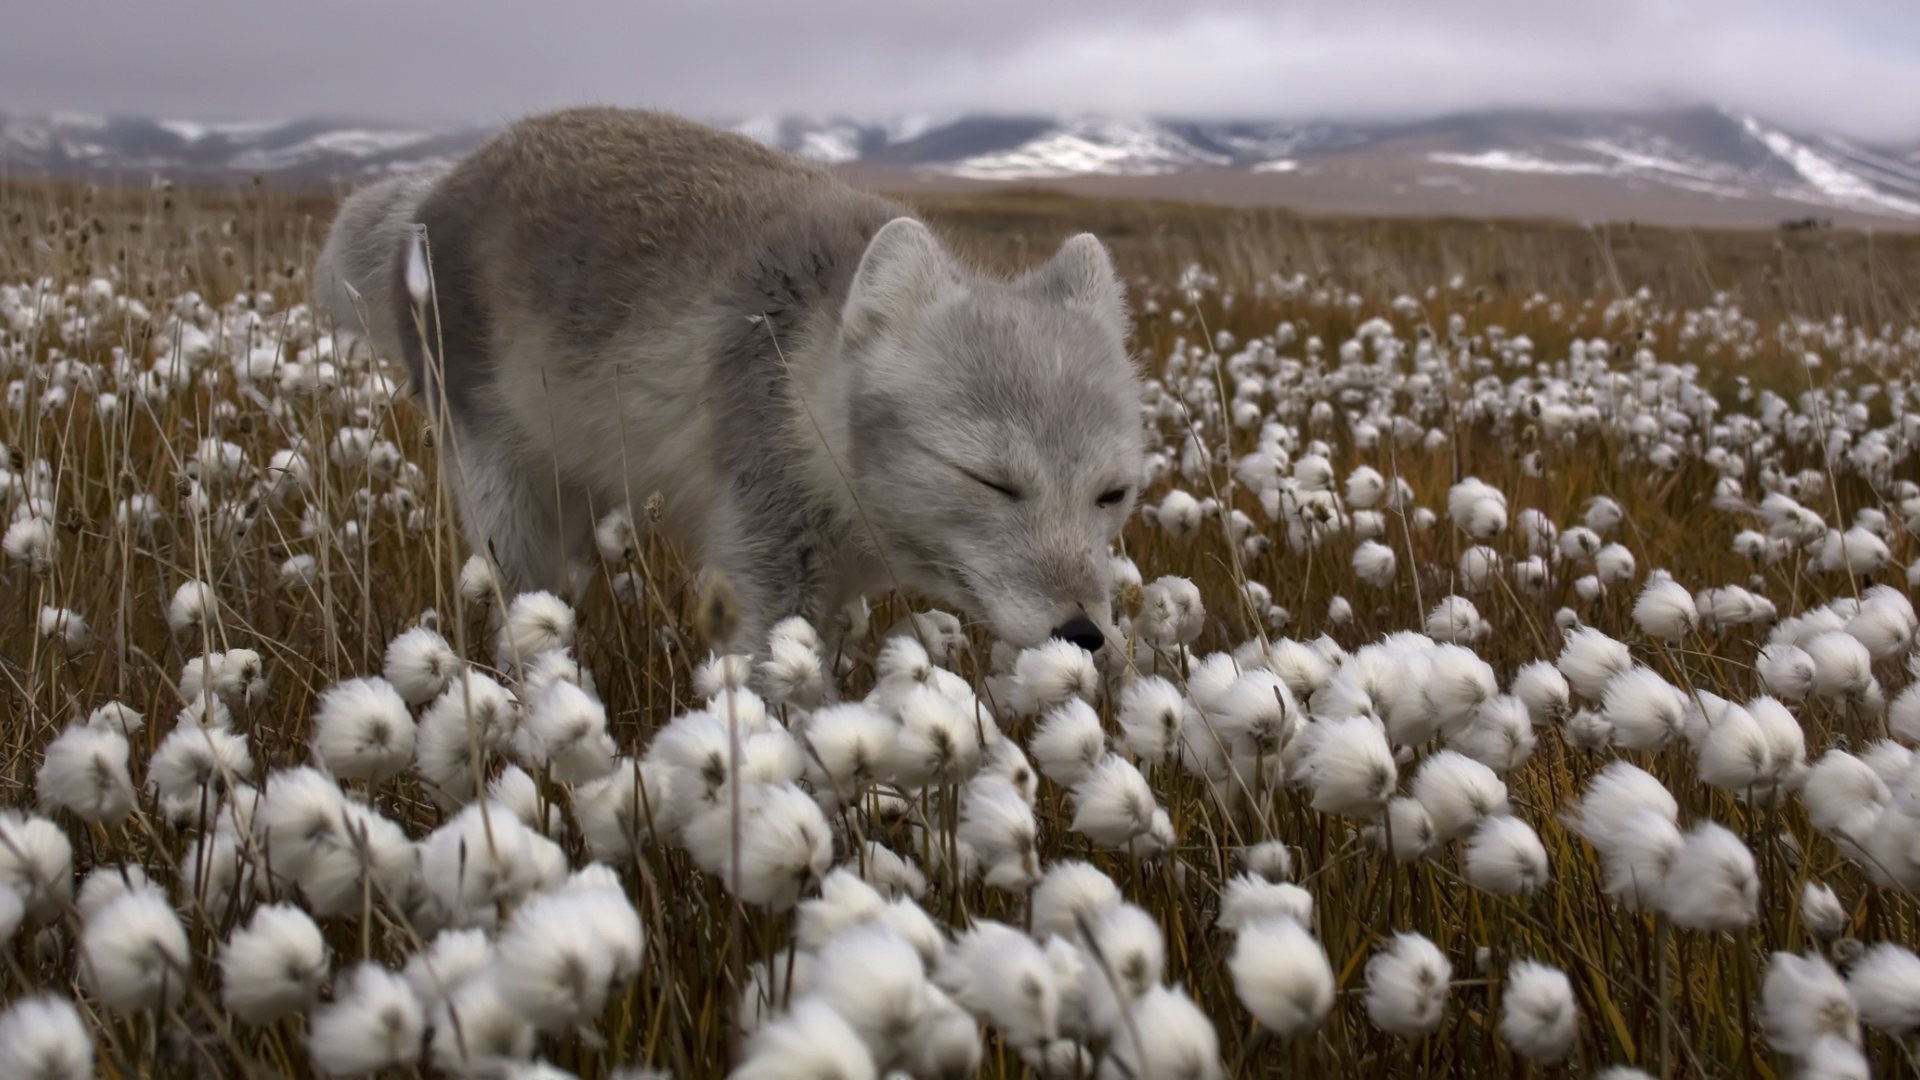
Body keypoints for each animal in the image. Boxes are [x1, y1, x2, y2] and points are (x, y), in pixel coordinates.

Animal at [314, 109, 1136, 653]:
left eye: (1113, 495)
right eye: (990, 481)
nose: (1082, 634)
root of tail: (433, 187)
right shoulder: (764, 569)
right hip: (505, 499)